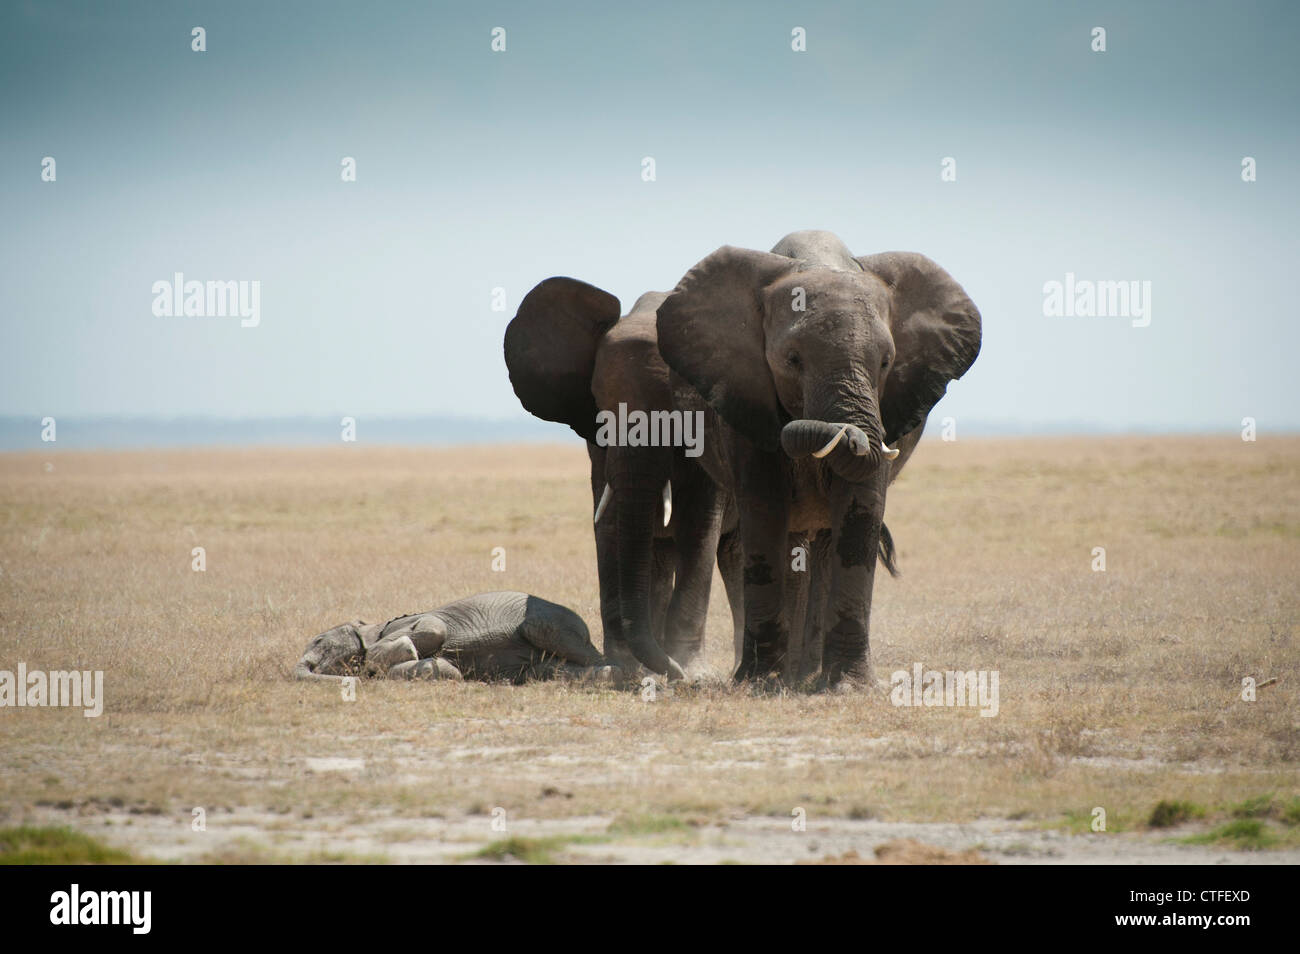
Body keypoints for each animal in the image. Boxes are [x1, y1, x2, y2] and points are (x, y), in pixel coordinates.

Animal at [293, 591, 613, 684]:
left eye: (319, 641)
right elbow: (448, 671)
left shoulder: (406, 624)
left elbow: (434, 627)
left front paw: (409, 650)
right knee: (547, 670)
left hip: (548, 621)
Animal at [505, 281, 739, 680]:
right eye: (600, 403)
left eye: (676, 409)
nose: (672, 672)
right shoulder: (598, 446)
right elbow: (609, 525)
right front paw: (624, 668)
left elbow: (699, 526)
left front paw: (690, 671)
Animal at [657, 230, 981, 689]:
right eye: (792, 360)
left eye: (886, 361)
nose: (842, 433)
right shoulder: (744, 394)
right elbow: (765, 506)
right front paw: (759, 683)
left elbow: (861, 504)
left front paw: (849, 688)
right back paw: (791, 676)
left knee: (823, 544)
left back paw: (808, 676)